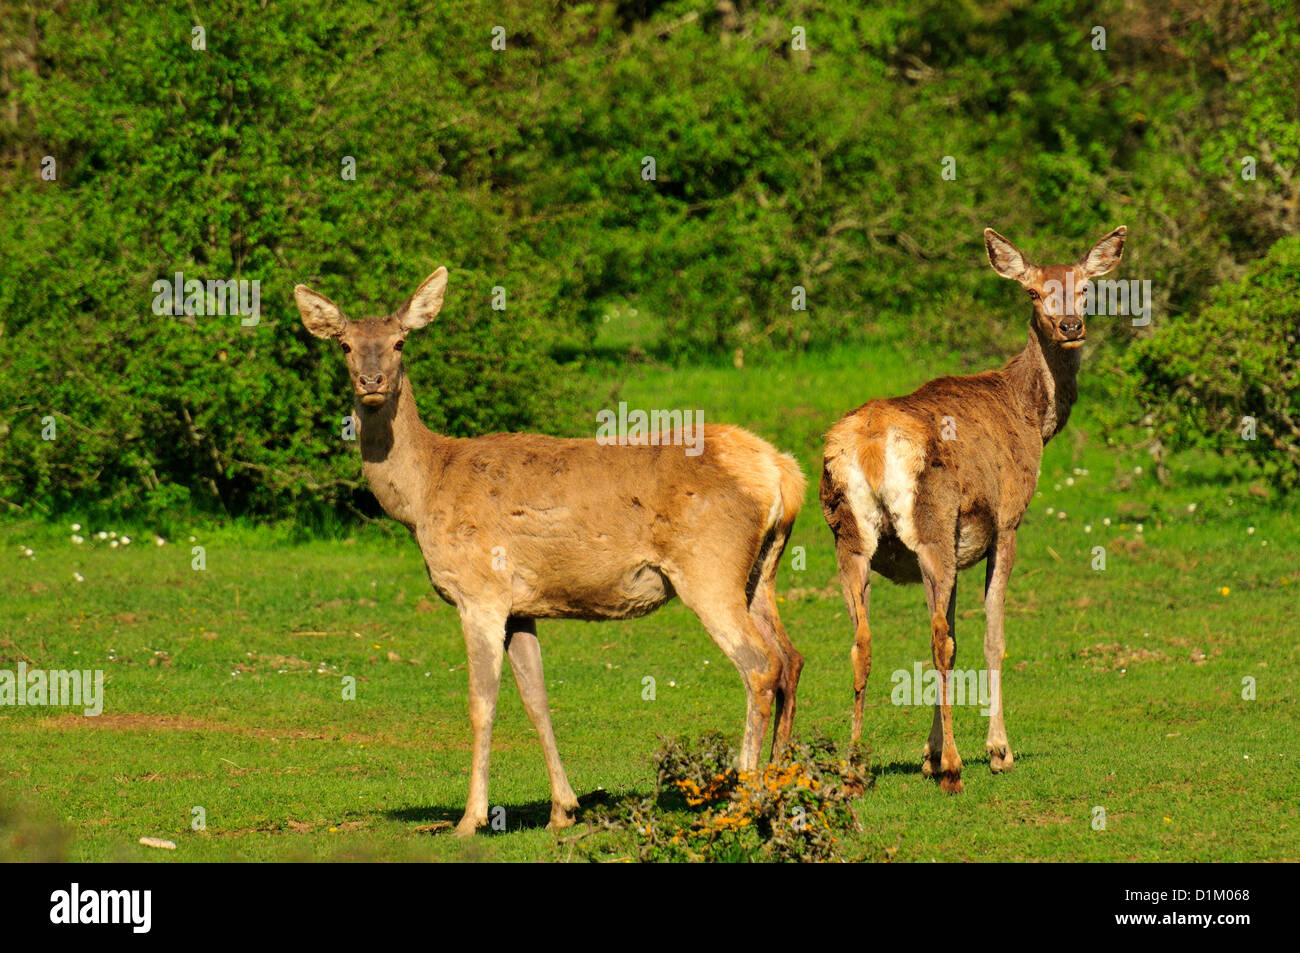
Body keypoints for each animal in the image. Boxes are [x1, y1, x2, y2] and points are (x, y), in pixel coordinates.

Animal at [294, 267, 806, 835]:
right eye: (344, 344)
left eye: (400, 341)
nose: (371, 381)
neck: (423, 494)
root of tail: (784, 472)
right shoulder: (521, 606)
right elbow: (536, 698)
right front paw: (564, 808)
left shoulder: (480, 591)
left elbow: (481, 703)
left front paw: (470, 818)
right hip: (760, 572)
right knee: (791, 658)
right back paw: (781, 788)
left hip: (709, 567)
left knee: (759, 665)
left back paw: (743, 801)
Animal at [819, 226, 1127, 793]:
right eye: (1033, 292)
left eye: (1086, 289)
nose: (1071, 326)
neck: (1032, 417)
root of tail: (869, 448)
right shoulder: (1007, 522)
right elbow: (990, 637)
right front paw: (997, 750)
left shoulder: (962, 545)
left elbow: (960, 635)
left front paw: (926, 752)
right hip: (931, 526)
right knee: (935, 640)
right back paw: (956, 769)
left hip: (848, 537)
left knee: (863, 641)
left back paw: (854, 769)